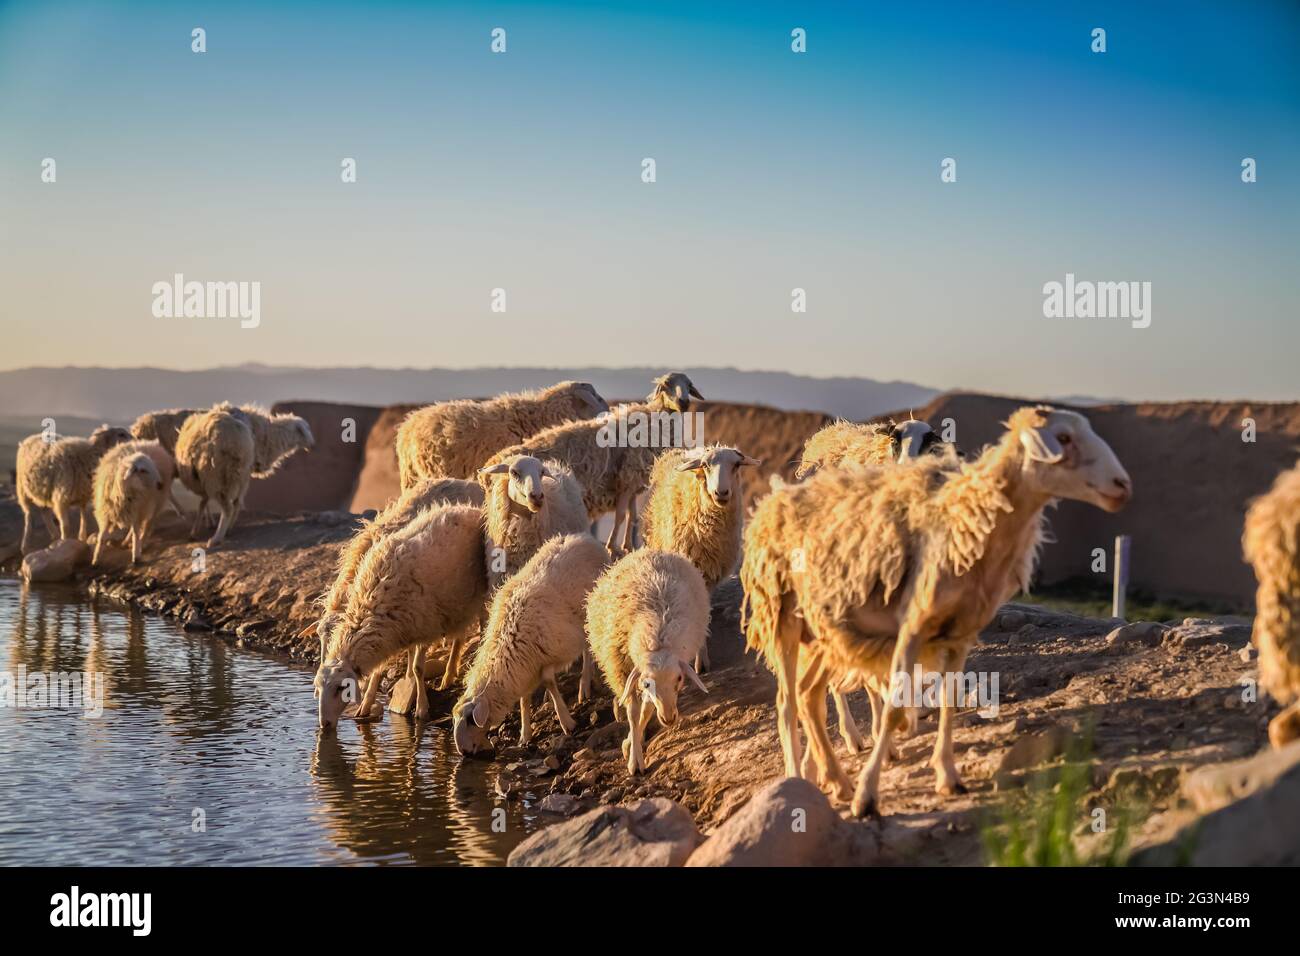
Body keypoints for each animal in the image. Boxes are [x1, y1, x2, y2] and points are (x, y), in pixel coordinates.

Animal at [173, 407, 255, 548]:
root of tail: (234, 441)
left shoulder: (203, 481)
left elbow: (202, 504)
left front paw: (195, 531)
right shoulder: (202, 483)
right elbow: (203, 503)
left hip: (213, 477)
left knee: (228, 508)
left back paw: (216, 539)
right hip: (242, 476)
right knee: (237, 503)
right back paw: (229, 529)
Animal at [452, 533, 609, 755]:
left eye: (470, 721)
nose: (463, 752)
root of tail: (584, 537)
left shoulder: (550, 655)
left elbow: (549, 682)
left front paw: (567, 722)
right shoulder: (526, 669)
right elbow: (524, 699)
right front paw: (525, 735)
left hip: (587, 615)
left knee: (587, 649)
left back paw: (585, 685)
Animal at [482, 372, 704, 552]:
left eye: (689, 385)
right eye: (667, 384)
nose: (684, 403)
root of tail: (487, 467)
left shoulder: (632, 483)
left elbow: (632, 516)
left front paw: (628, 546)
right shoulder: (626, 479)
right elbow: (621, 515)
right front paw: (613, 546)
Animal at [585, 549, 711, 776]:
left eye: (679, 679)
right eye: (646, 682)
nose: (669, 718)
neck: (658, 637)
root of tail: (652, 550)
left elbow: (646, 710)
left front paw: (629, 745)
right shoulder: (621, 670)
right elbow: (634, 714)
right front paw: (635, 760)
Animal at [742, 405, 1132, 816]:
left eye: (931, 443)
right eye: (895, 440)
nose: (1121, 484)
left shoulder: (950, 633)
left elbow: (941, 698)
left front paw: (939, 769)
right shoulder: (905, 626)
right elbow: (889, 696)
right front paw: (873, 781)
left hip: (823, 627)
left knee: (811, 694)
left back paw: (836, 773)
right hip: (785, 619)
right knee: (791, 701)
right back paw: (810, 770)